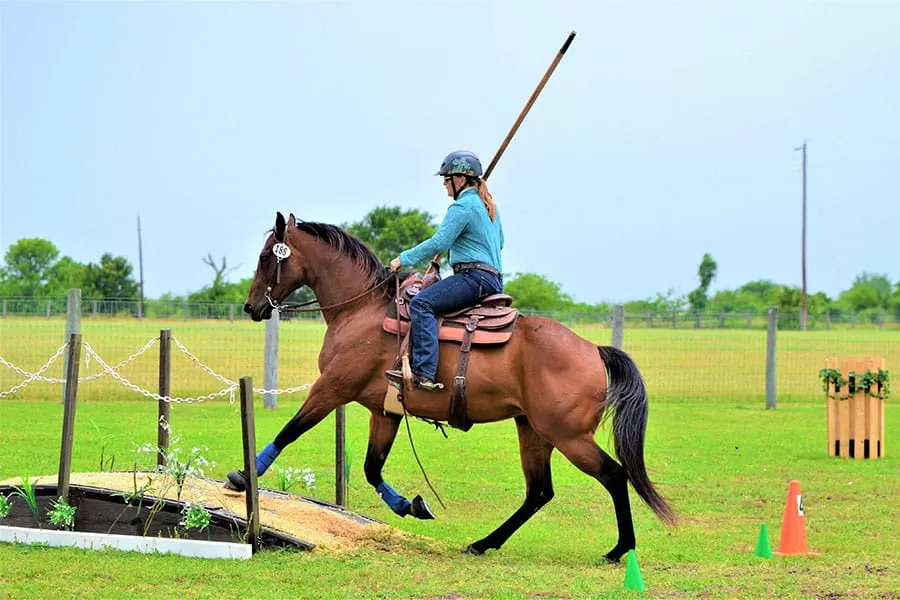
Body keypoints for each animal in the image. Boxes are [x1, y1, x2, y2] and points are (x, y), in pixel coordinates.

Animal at [229, 211, 672, 564]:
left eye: (267, 257)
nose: (252, 307)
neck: (362, 310)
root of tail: (593, 350)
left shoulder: (331, 388)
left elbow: (290, 431)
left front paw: (243, 477)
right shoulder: (385, 411)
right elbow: (372, 468)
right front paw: (411, 505)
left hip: (567, 435)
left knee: (613, 475)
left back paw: (619, 549)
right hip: (533, 431)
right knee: (539, 493)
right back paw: (483, 543)